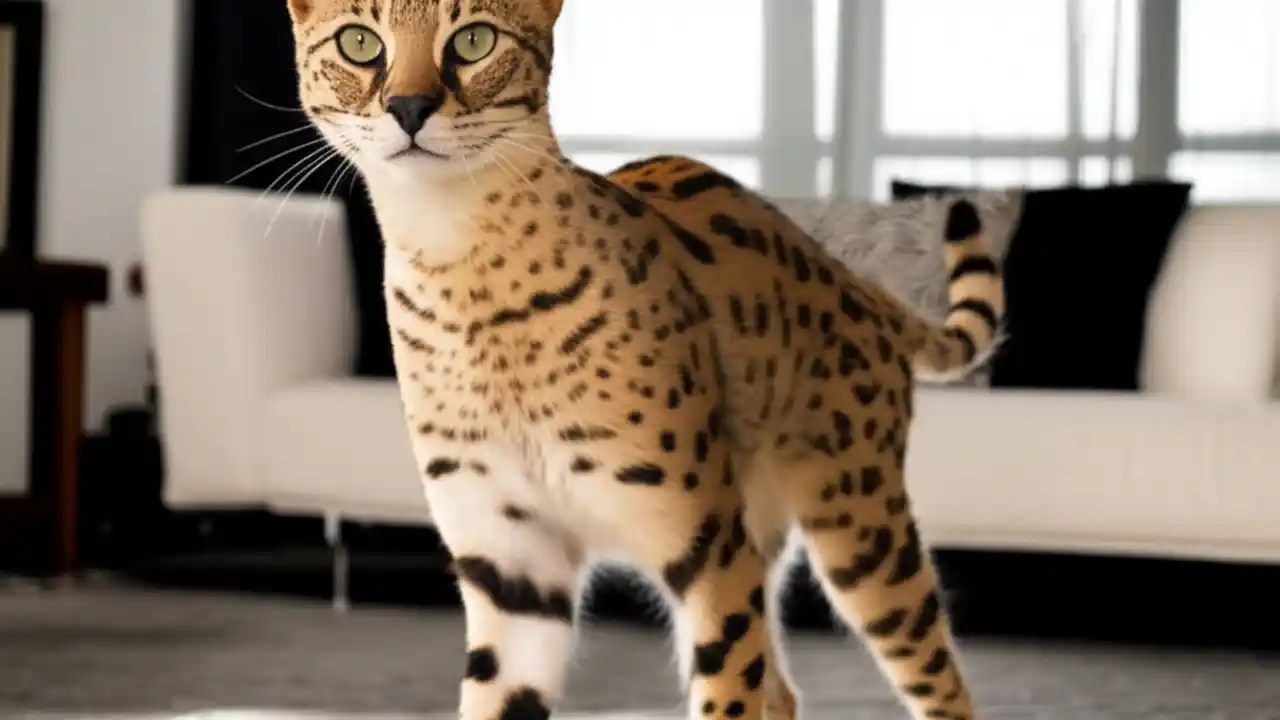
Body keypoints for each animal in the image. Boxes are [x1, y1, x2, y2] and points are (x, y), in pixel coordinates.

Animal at [285, 2, 1004, 719]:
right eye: (359, 43)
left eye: (474, 39)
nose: (408, 106)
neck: (456, 260)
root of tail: (854, 282)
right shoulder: (513, 567)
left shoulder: (707, 551)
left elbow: (726, 693)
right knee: (784, 690)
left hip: (859, 532)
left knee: (941, 682)